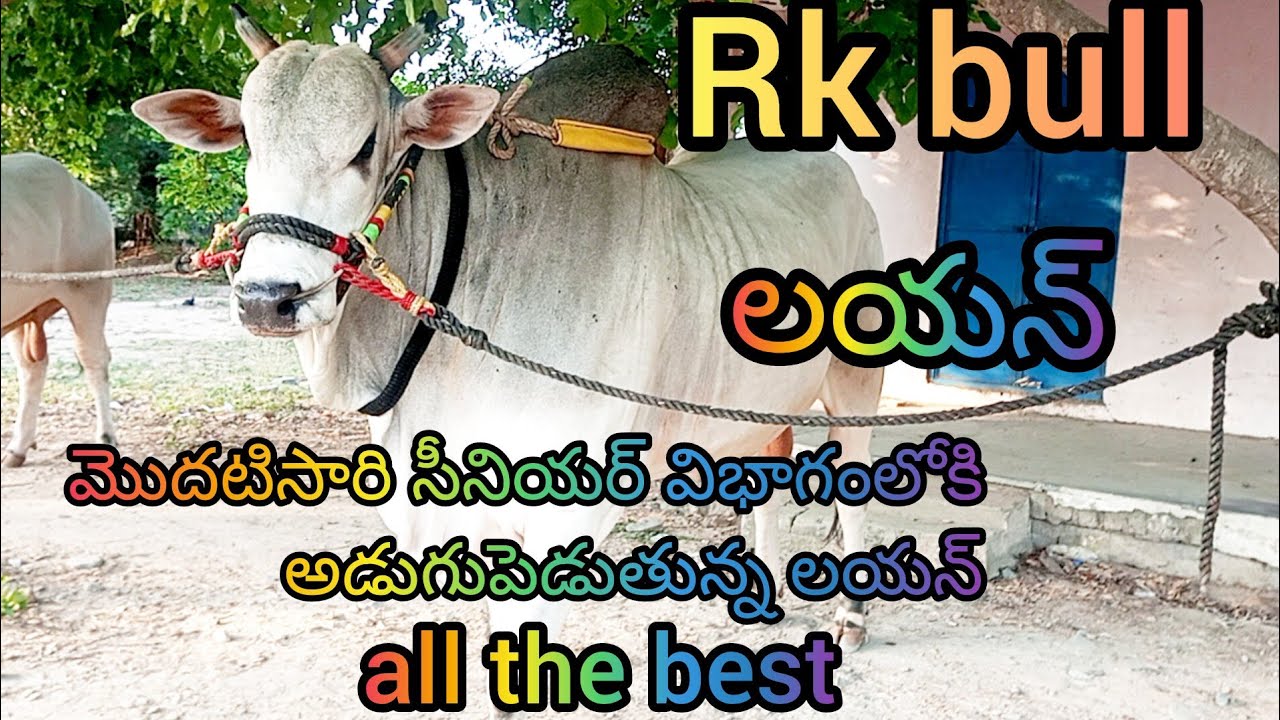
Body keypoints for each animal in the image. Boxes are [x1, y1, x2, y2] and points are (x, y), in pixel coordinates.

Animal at [1, 153, 117, 468]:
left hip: (88, 291)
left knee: (94, 360)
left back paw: (106, 437)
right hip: (22, 307)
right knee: (31, 367)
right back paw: (18, 448)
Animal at [132, 13, 884, 655]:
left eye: (367, 145)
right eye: (249, 142)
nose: (270, 299)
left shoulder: (569, 513)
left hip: (854, 380)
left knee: (853, 482)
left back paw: (851, 617)